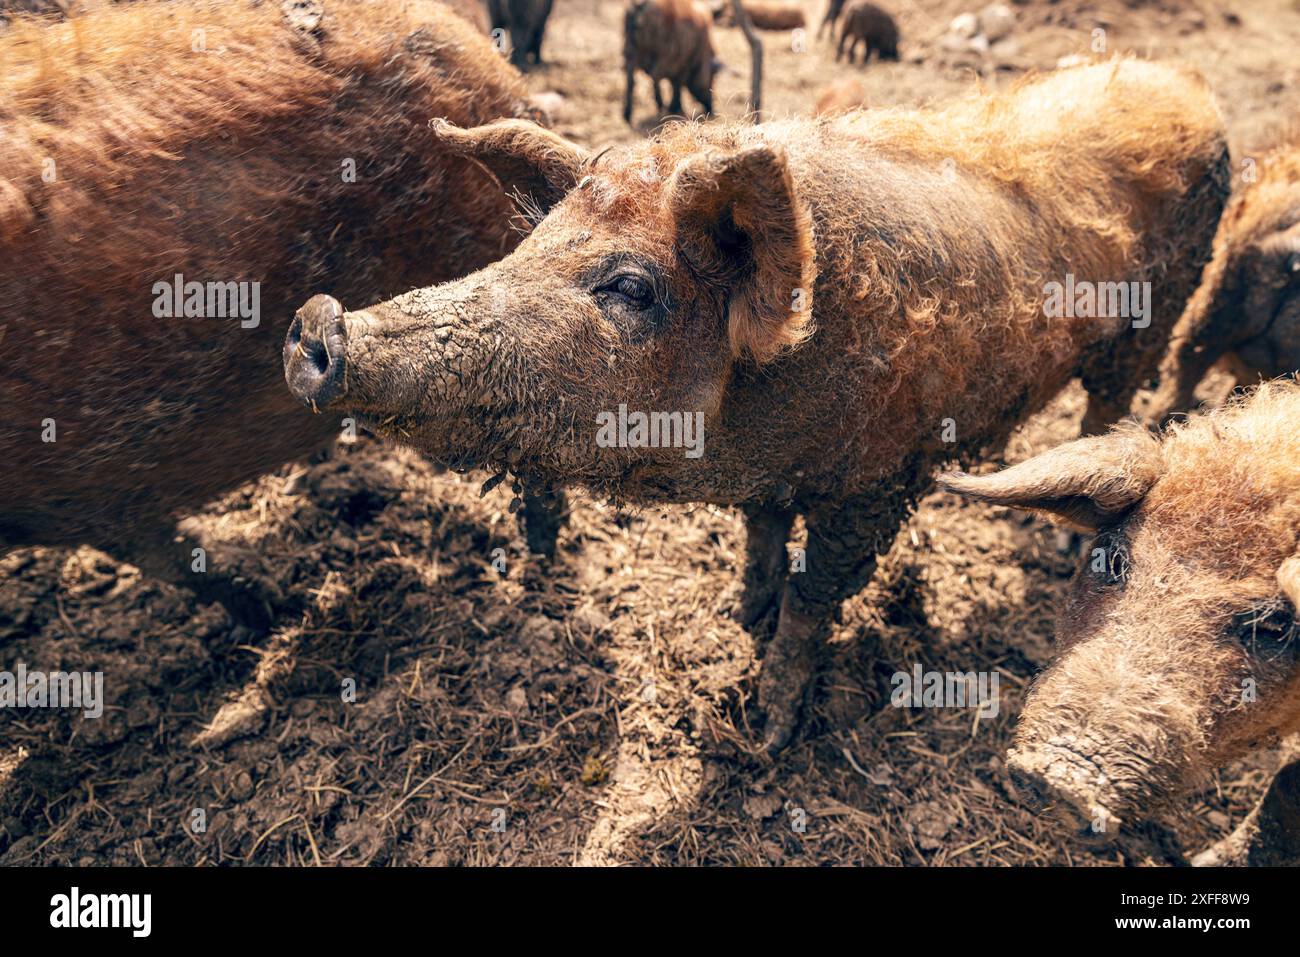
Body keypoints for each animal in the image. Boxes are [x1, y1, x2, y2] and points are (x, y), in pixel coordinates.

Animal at [283, 61, 1229, 752]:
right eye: (533, 244)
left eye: (632, 287)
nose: (319, 324)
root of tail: (1185, 84)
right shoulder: (776, 481)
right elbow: (762, 531)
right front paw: (743, 614)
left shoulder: (880, 480)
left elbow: (818, 594)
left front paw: (768, 732)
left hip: (1156, 316)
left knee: (1112, 401)